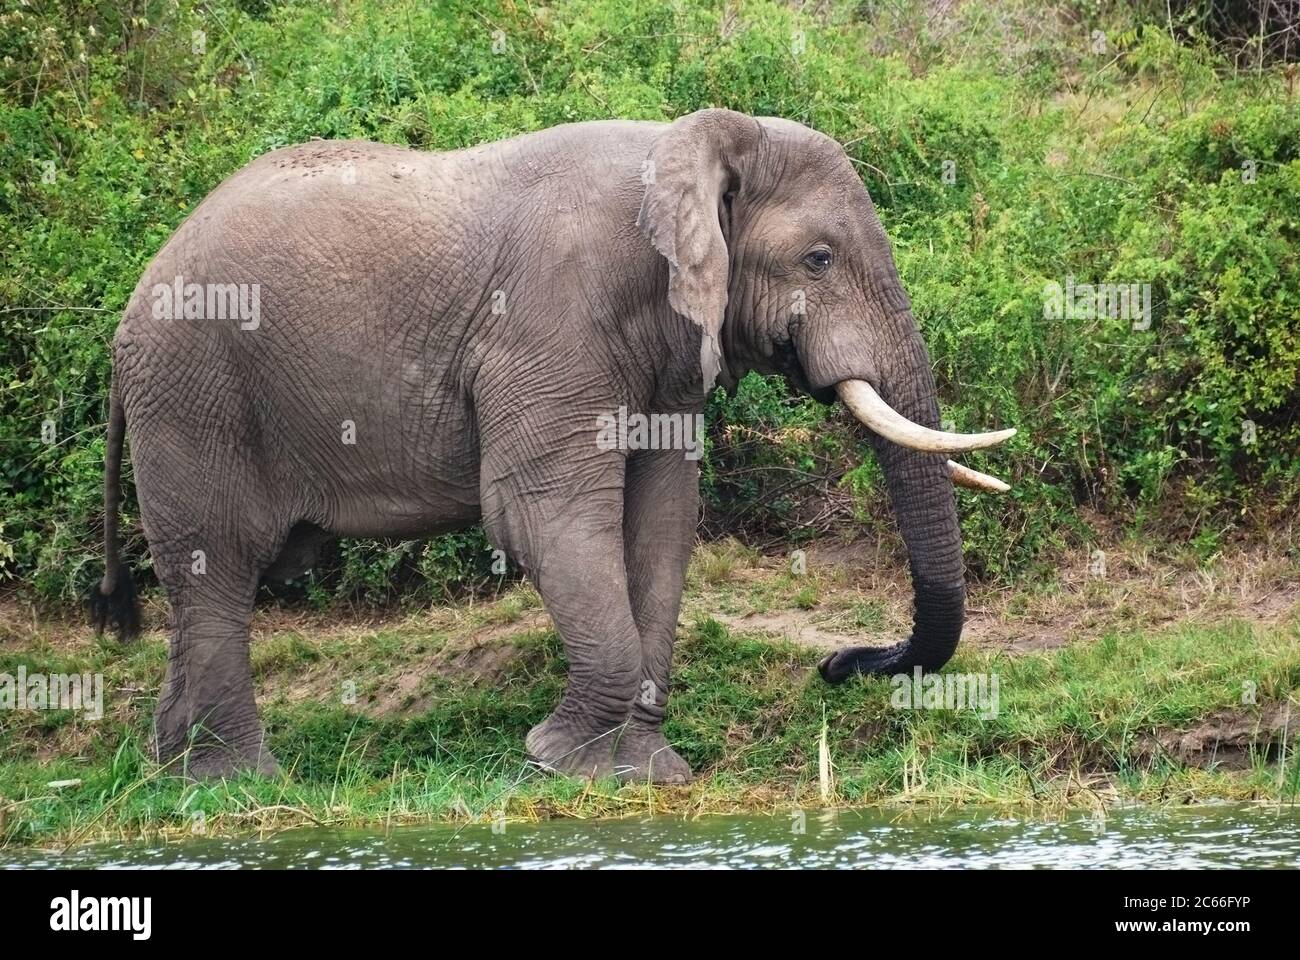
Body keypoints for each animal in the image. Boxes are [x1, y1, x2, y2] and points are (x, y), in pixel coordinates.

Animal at [90, 108, 1014, 782]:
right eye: (819, 259)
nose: (837, 664)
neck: (687, 144)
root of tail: (130, 308)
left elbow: (662, 522)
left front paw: (645, 773)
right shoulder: (550, 323)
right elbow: (543, 514)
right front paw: (562, 763)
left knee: (202, 586)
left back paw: (173, 774)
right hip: (195, 393)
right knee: (219, 567)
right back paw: (239, 783)